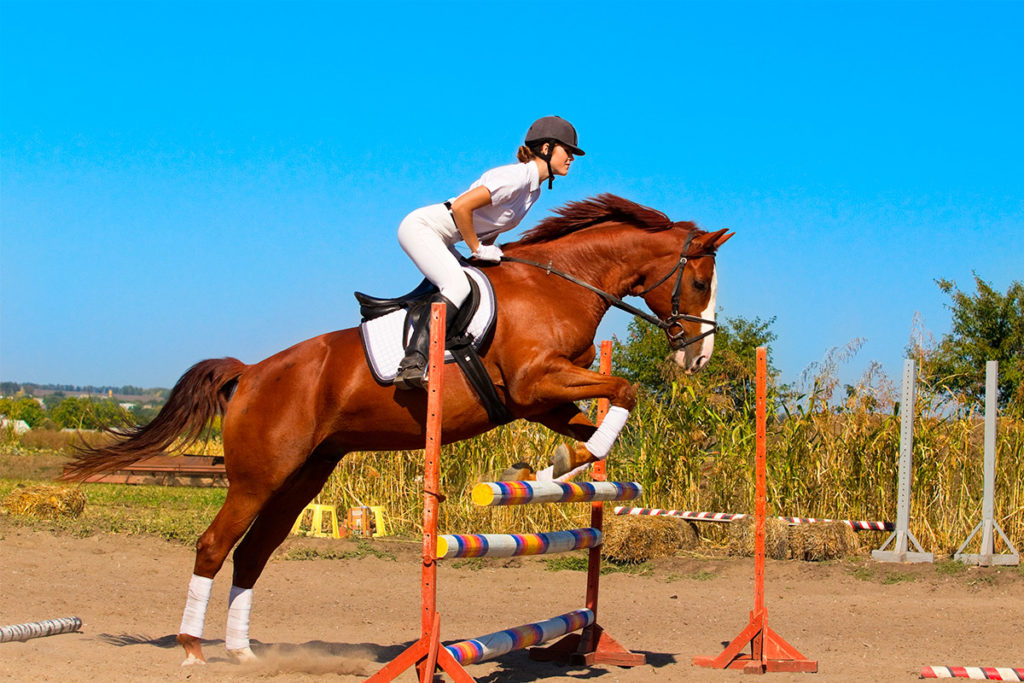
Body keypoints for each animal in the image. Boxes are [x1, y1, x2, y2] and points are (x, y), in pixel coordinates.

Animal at [63, 193, 733, 665]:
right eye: (700, 282)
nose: (698, 358)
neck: (558, 284)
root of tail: (250, 373)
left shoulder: (539, 399)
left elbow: (596, 417)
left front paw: (551, 467)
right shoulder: (534, 382)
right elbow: (625, 391)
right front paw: (555, 464)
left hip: (304, 476)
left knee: (253, 551)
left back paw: (244, 652)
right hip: (258, 476)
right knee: (213, 545)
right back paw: (194, 651)